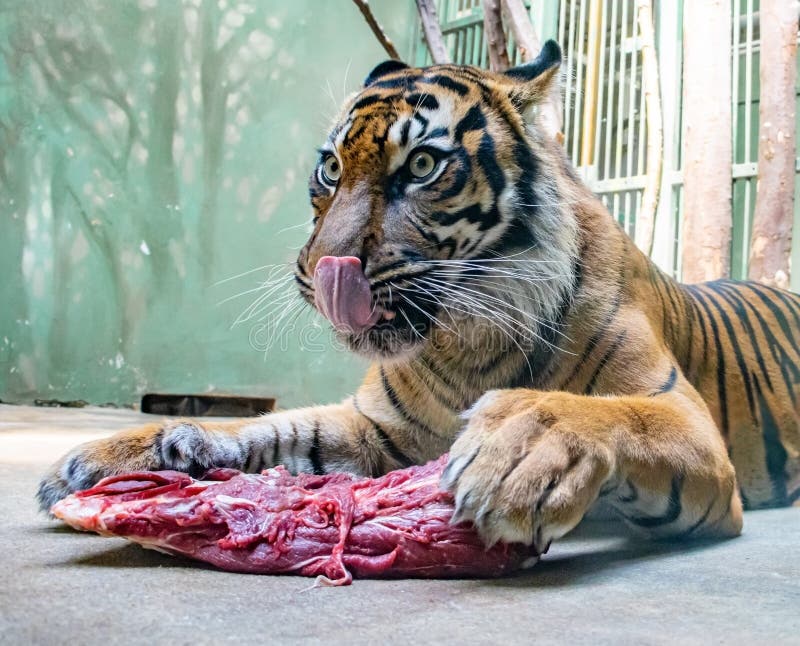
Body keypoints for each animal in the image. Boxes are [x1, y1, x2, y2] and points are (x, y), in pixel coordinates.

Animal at [38, 40, 800, 555]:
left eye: (425, 166)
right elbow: (269, 430)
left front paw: (515, 454)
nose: (325, 272)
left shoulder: (689, 427)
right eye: (330, 168)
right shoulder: (375, 428)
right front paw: (111, 457)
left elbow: (598, 412)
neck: (468, 345)